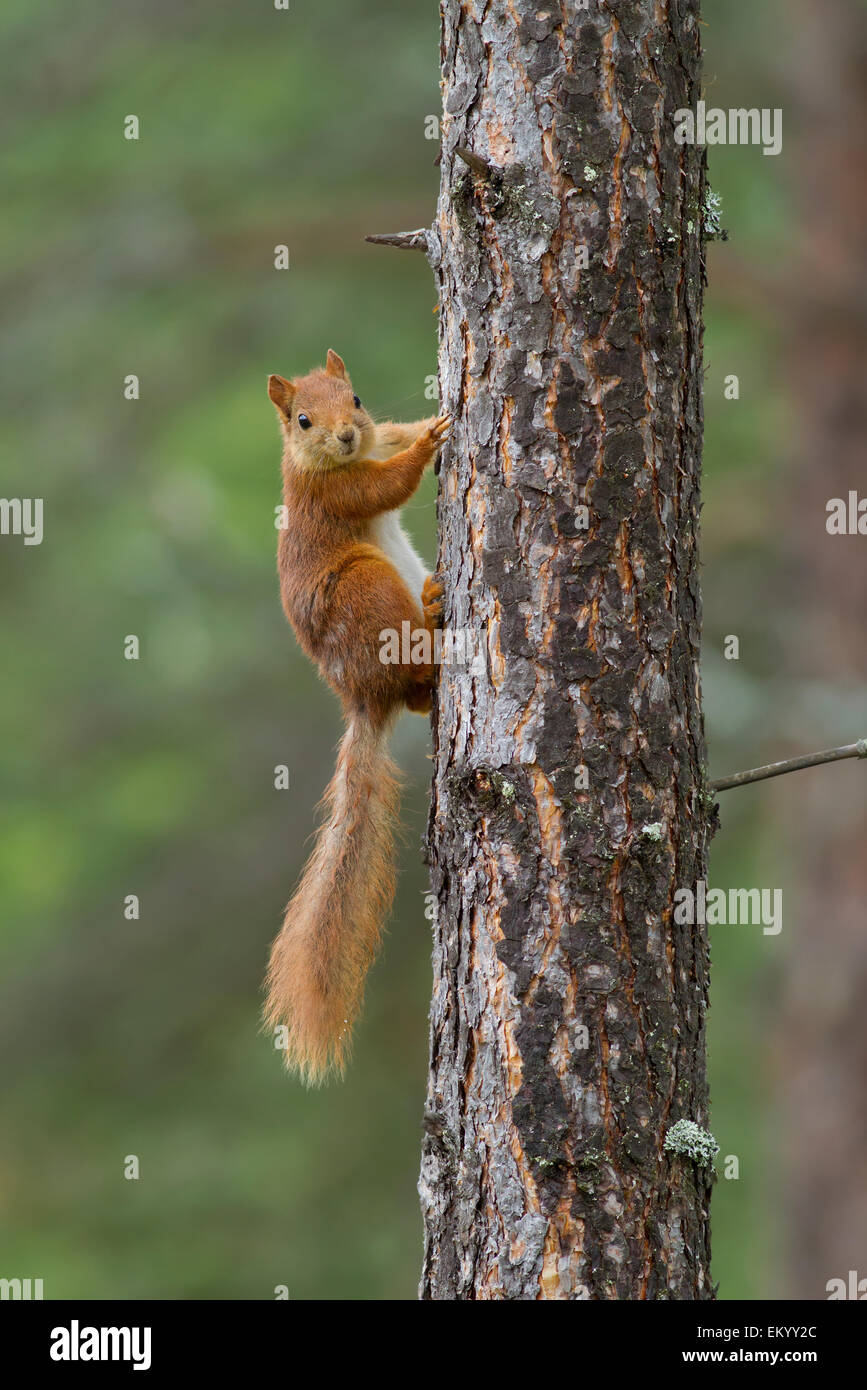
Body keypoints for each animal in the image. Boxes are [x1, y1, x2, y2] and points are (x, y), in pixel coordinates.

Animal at [264, 349, 450, 1084]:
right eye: (302, 419)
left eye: (358, 398)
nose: (345, 436)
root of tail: (361, 699)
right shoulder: (332, 496)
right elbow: (381, 490)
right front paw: (433, 443)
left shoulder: (375, 438)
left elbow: (393, 436)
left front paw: (428, 421)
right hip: (366, 589)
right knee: (415, 682)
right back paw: (432, 627)